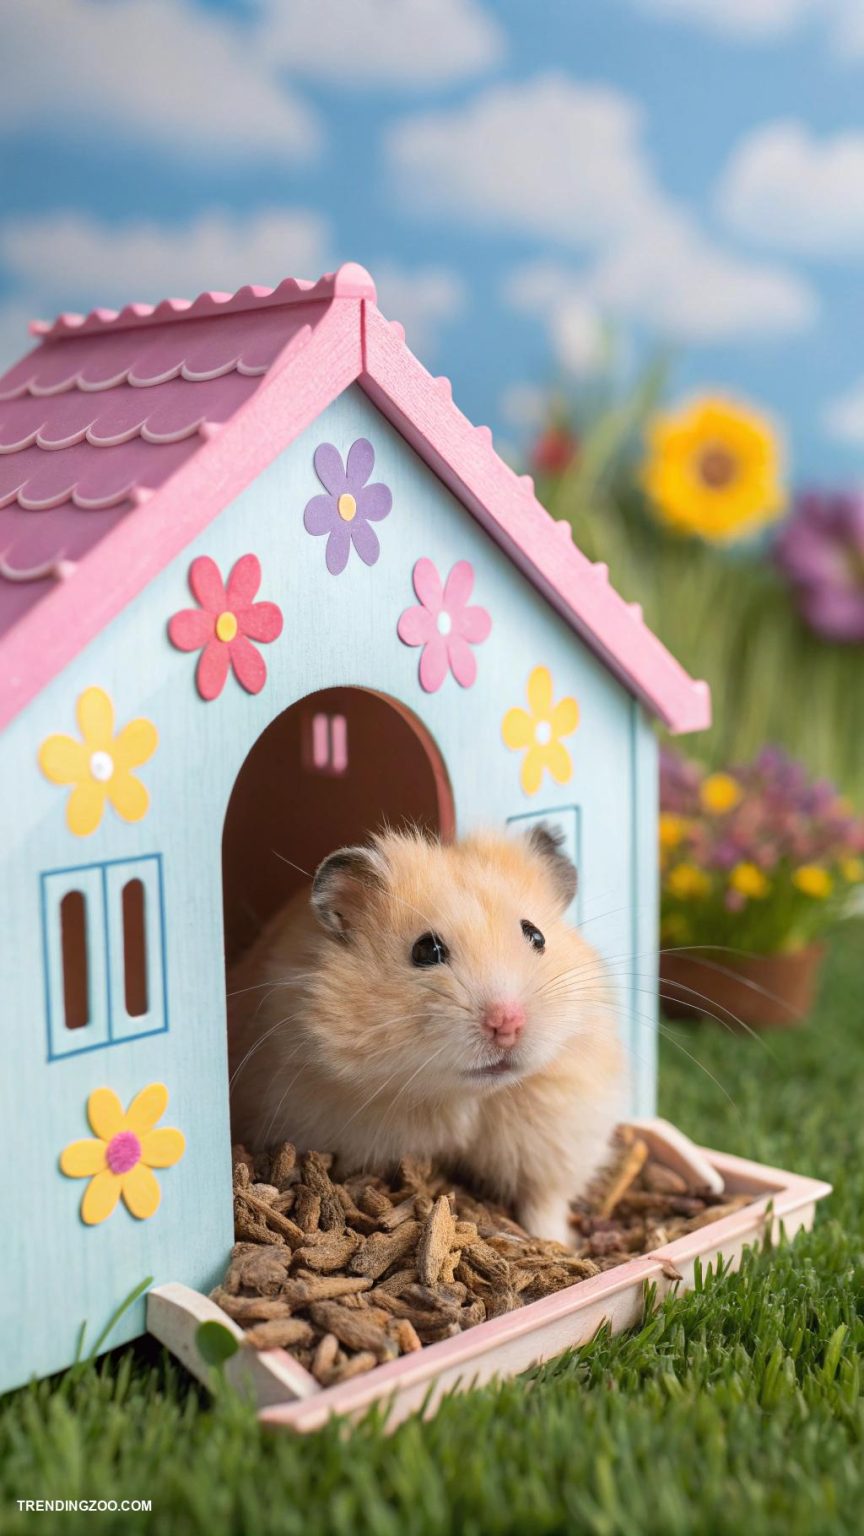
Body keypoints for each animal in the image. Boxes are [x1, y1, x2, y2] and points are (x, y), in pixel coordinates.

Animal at [228, 824, 624, 1246]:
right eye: (426, 950)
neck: (457, 1095)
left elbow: (544, 1203)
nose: (508, 1024)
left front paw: (561, 1243)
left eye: (536, 936)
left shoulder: (559, 1135)